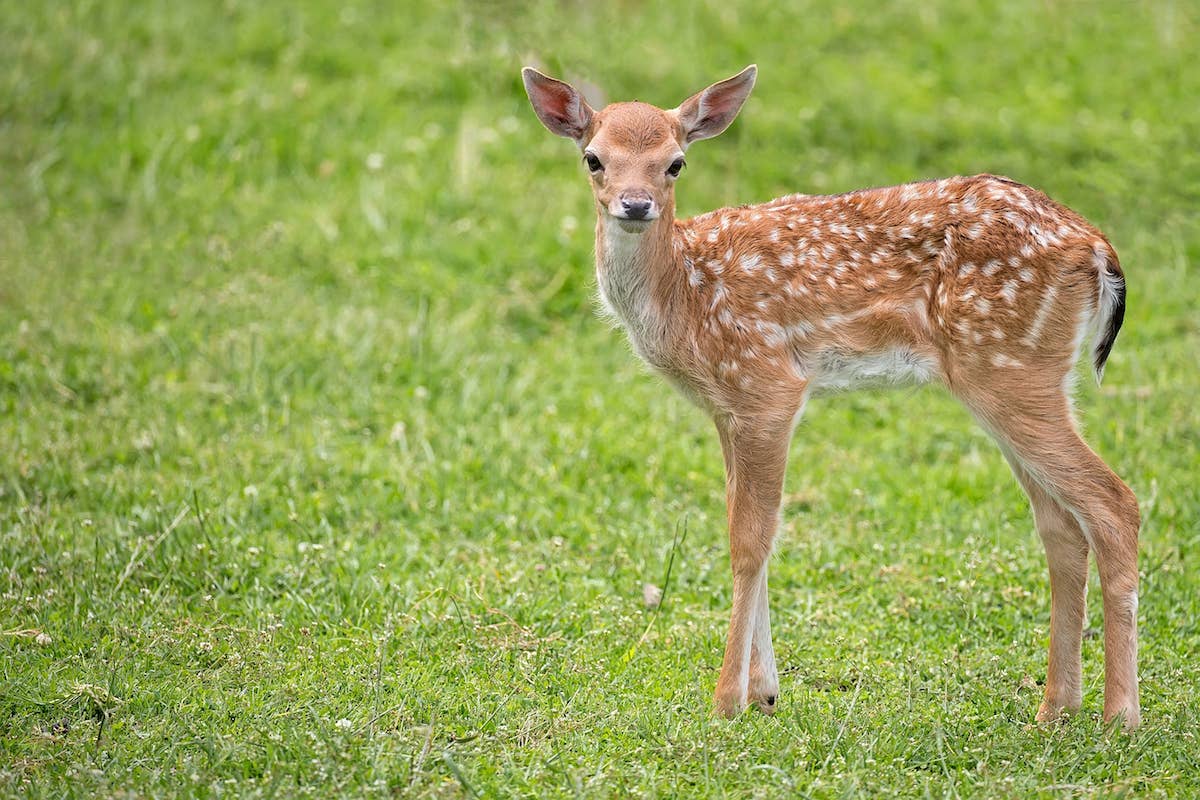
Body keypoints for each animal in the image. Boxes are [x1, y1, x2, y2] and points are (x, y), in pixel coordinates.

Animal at [521, 64, 1140, 729]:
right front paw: (765, 692)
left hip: (1010, 369)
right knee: (1061, 525)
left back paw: (1120, 716)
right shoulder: (728, 408)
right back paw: (1056, 707)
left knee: (1113, 503)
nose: (635, 205)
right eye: (593, 159)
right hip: (1022, 377)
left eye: (675, 163)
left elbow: (750, 540)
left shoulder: (767, 386)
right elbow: (751, 530)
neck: (685, 295)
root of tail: (1099, 248)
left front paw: (726, 701)